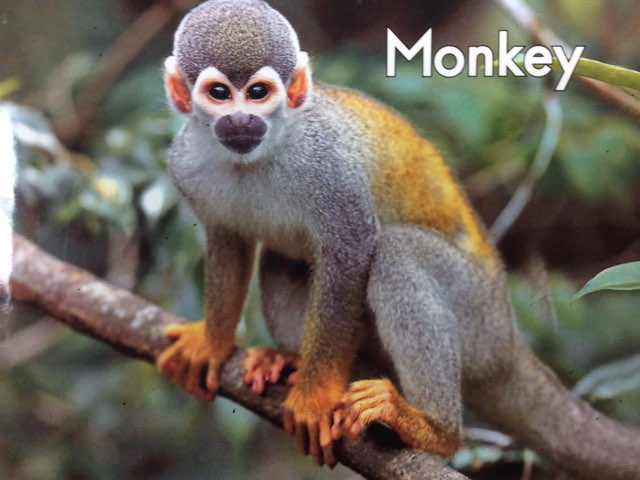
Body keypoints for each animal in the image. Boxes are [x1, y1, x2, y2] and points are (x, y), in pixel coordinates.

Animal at [156, 0, 640, 478]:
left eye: (258, 92)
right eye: (220, 94)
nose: (241, 119)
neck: (256, 156)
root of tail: (507, 343)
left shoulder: (327, 167)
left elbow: (352, 248)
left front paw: (315, 396)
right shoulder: (184, 165)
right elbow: (228, 243)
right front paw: (212, 343)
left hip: (477, 313)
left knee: (397, 254)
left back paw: (434, 429)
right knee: (282, 261)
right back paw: (290, 360)